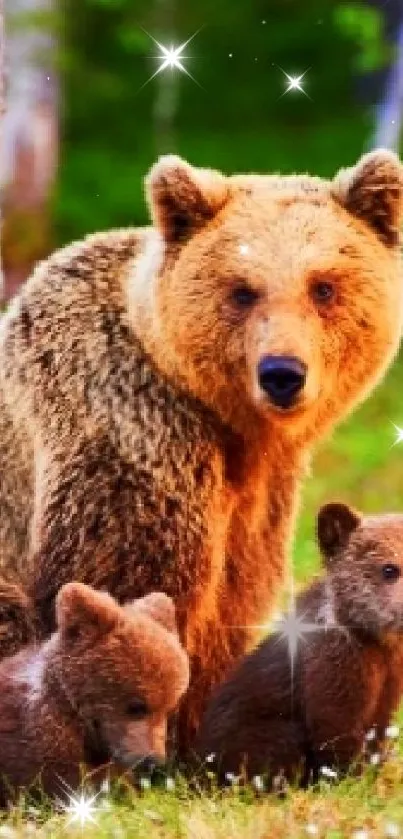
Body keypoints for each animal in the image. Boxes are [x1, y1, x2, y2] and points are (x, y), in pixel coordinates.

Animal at [0, 150, 402, 755]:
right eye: (242, 289)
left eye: (323, 286)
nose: (282, 373)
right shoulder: (131, 439)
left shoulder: (258, 498)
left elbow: (232, 600)